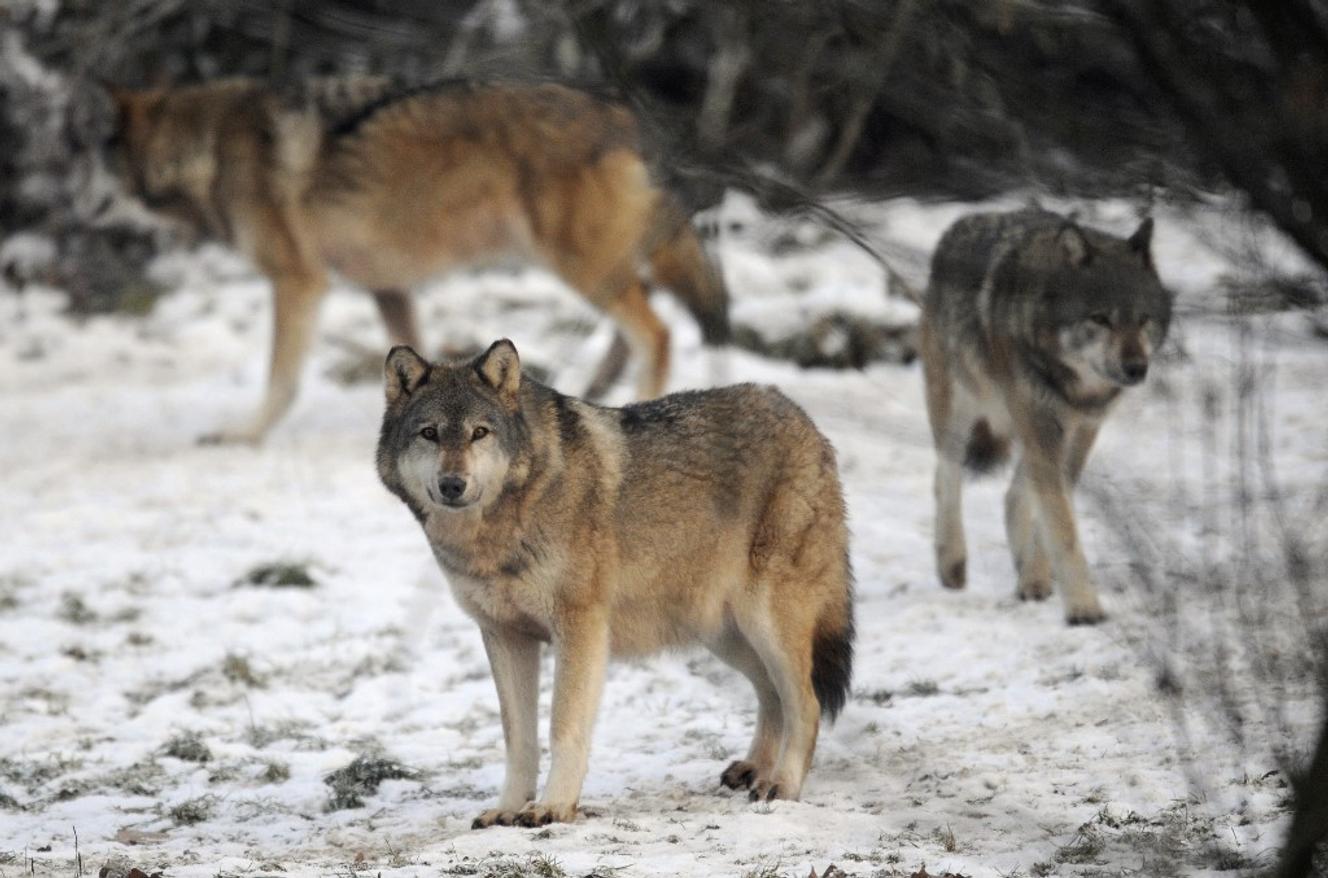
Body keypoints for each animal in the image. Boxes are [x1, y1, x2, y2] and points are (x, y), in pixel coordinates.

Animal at [103, 77, 729, 443]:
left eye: (107, 170)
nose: (94, 212)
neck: (206, 150)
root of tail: (627, 120)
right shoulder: (389, 288)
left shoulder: (298, 281)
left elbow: (280, 376)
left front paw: (244, 433)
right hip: (600, 268)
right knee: (639, 328)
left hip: (582, 266)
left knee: (657, 333)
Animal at [376, 338, 854, 826]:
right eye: (429, 433)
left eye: (479, 433)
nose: (453, 484)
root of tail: (801, 416)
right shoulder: (504, 635)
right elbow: (518, 739)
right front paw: (507, 809)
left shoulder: (579, 627)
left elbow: (563, 726)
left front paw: (553, 807)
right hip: (723, 634)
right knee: (771, 693)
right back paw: (754, 769)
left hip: (764, 622)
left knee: (807, 703)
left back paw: (781, 785)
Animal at [919, 208, 1171, 625]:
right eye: (1100, 319)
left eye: (1143, 319)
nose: (1136, 368)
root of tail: (959, 224)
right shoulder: (1040, 423)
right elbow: (1061, 523)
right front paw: (1084, 608)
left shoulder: (1082, 429)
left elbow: (1051, 514)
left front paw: (1037, 578)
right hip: (961, 406)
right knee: (945, 476)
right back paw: (951, 562)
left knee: (1013, 495)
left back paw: (1026, 572)